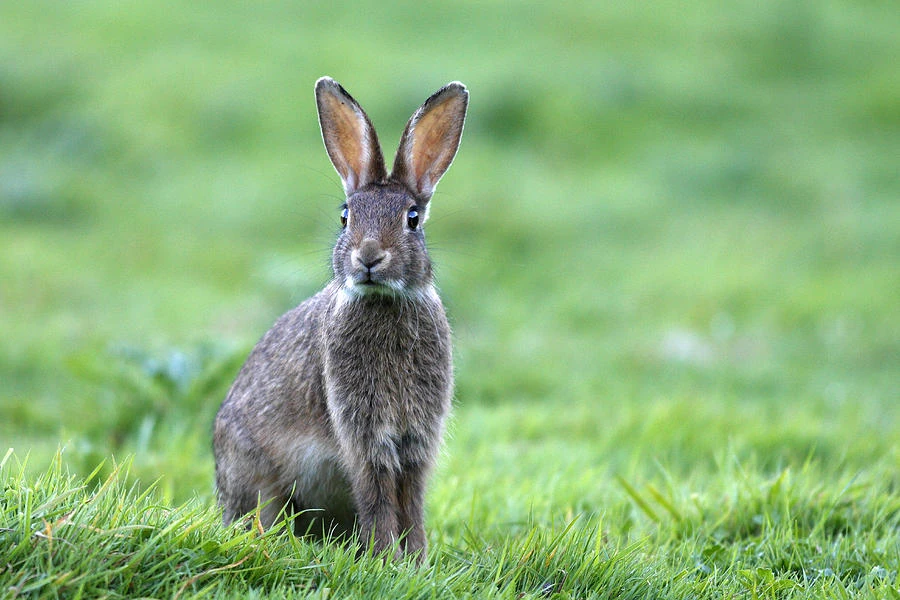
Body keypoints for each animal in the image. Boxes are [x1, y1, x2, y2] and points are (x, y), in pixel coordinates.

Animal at [213, 76, 468, 563]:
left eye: (412, 219)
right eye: (346, 216)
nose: (368, 257)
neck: (383, 301)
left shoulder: (415, 440)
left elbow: (410, 499)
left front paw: (415, 561)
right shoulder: (364, 435)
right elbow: (379, 496)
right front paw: (387, 559)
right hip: (258, 478)